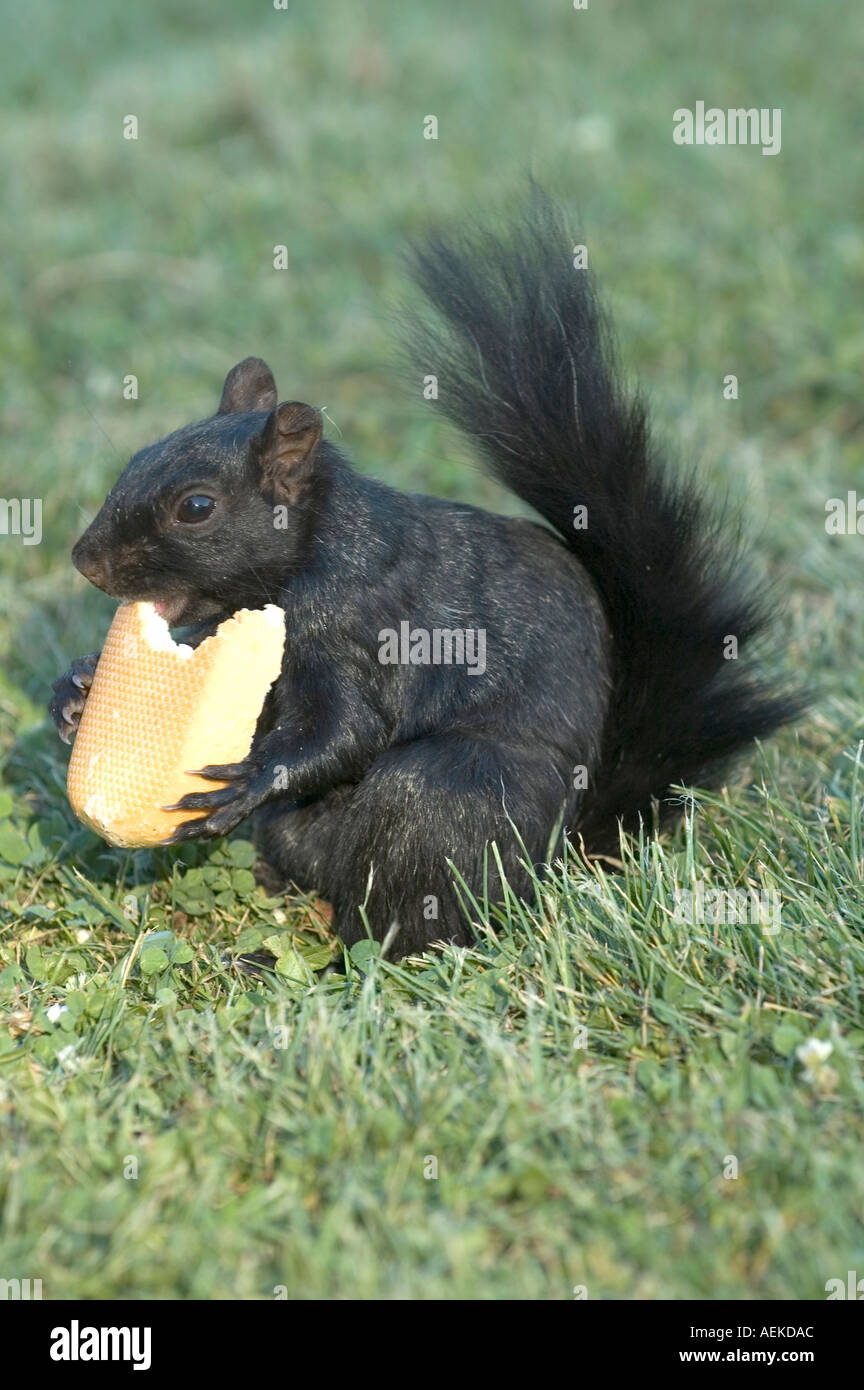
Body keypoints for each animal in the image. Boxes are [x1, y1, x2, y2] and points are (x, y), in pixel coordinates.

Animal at [50, 199, 801, 957]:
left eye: (196, 507)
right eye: (138, 457)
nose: (86, 559)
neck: (314, 550)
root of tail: (564, 852)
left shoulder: (363, 621)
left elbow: (348, 728)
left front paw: (249, 780)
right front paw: (76, 693)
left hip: (448, 797)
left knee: (403, 909)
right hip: (313, 833)